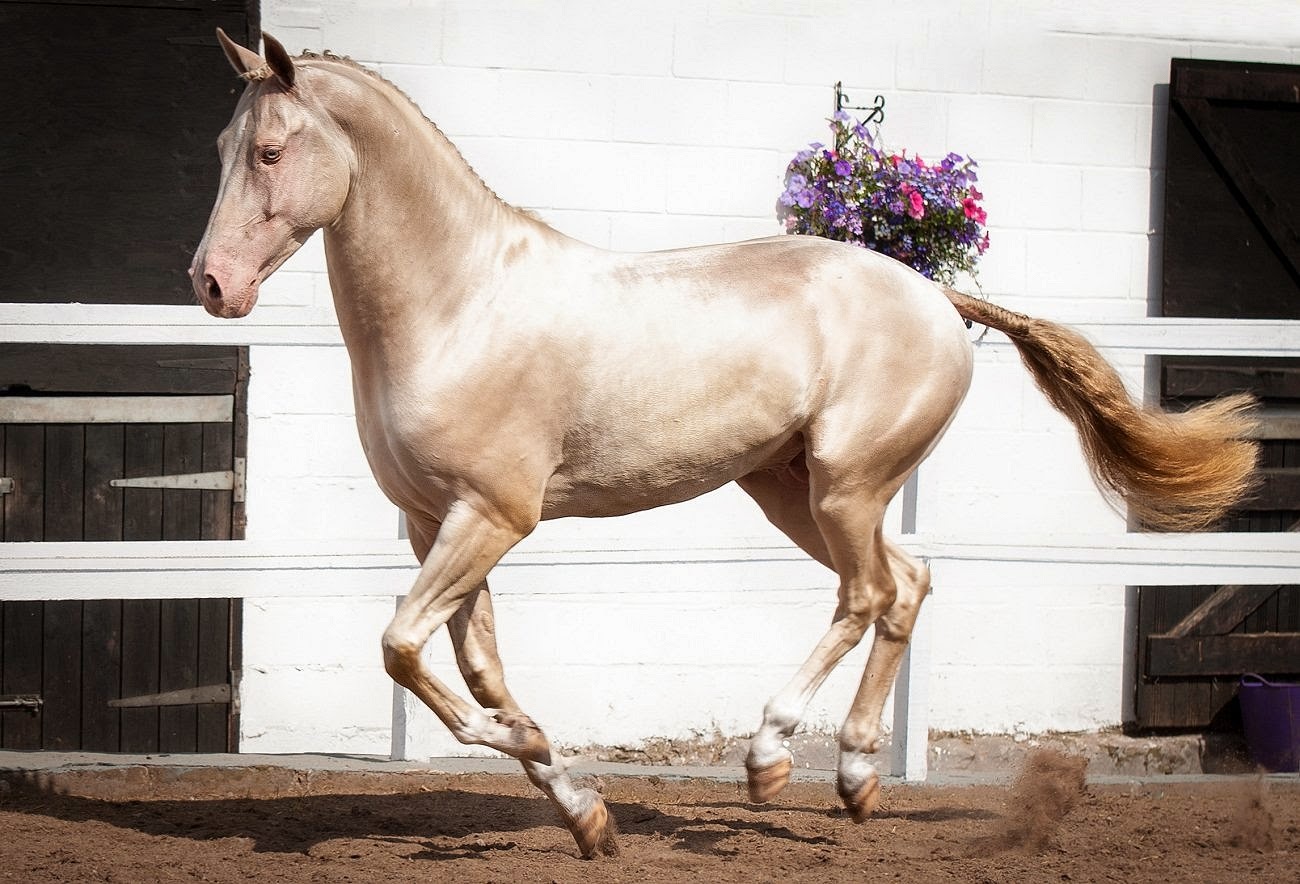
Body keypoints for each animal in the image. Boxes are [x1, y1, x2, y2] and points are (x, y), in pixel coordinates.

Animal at [191, 30, 1258, 858]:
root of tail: (938, 297)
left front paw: (536, 757)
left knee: (868, 594)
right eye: (223, 145)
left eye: (273, 152)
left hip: (844, 487)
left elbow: (404, 648)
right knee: (906, 586)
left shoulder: (492, 516)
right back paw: (856, 779)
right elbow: (474, 665)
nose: (210, 284)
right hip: (791, 490)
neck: (460, 304)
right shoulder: (436, 524)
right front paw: (579, 804)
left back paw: (772, 759)